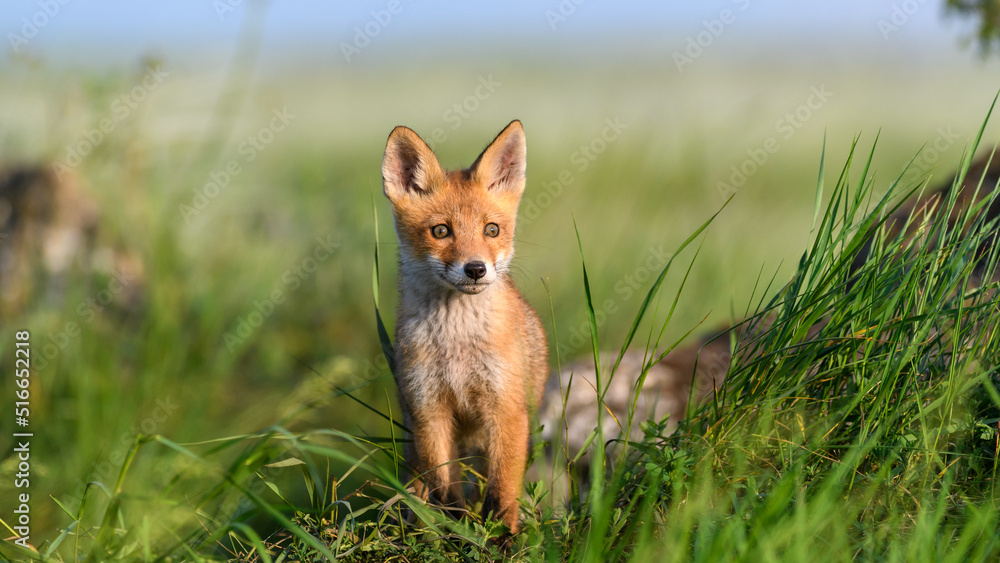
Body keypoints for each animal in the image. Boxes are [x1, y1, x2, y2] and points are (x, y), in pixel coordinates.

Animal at [381, 120, 549, 534]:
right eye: (441, 231)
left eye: (492, 230)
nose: (475, 269)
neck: (456, 346)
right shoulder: (429, 410)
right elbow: (446, 491)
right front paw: (456, 532)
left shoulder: (505, 409)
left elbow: (502, 490)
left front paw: (502, 537)